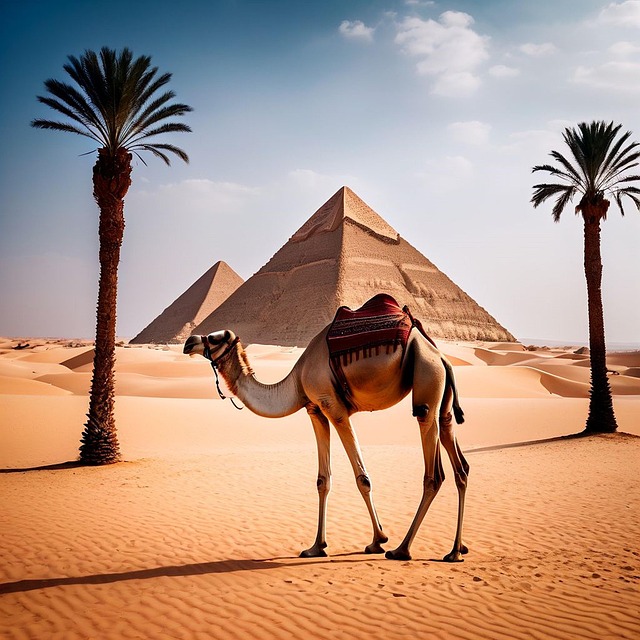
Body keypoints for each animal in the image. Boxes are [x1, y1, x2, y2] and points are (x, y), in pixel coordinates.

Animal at [183, 300, 469, 562]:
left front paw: (378, 540)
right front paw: (316, 547)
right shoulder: (315, 410)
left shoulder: (334, 408)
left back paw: (402, 549)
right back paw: (455, 551)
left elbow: (362, 478)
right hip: (441, 398)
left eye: (214, 337)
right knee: (460, 465)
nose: (188, 342)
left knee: (433, 473)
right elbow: (323, 480)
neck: (296, 381)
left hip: (426, 380)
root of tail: (442, 357)